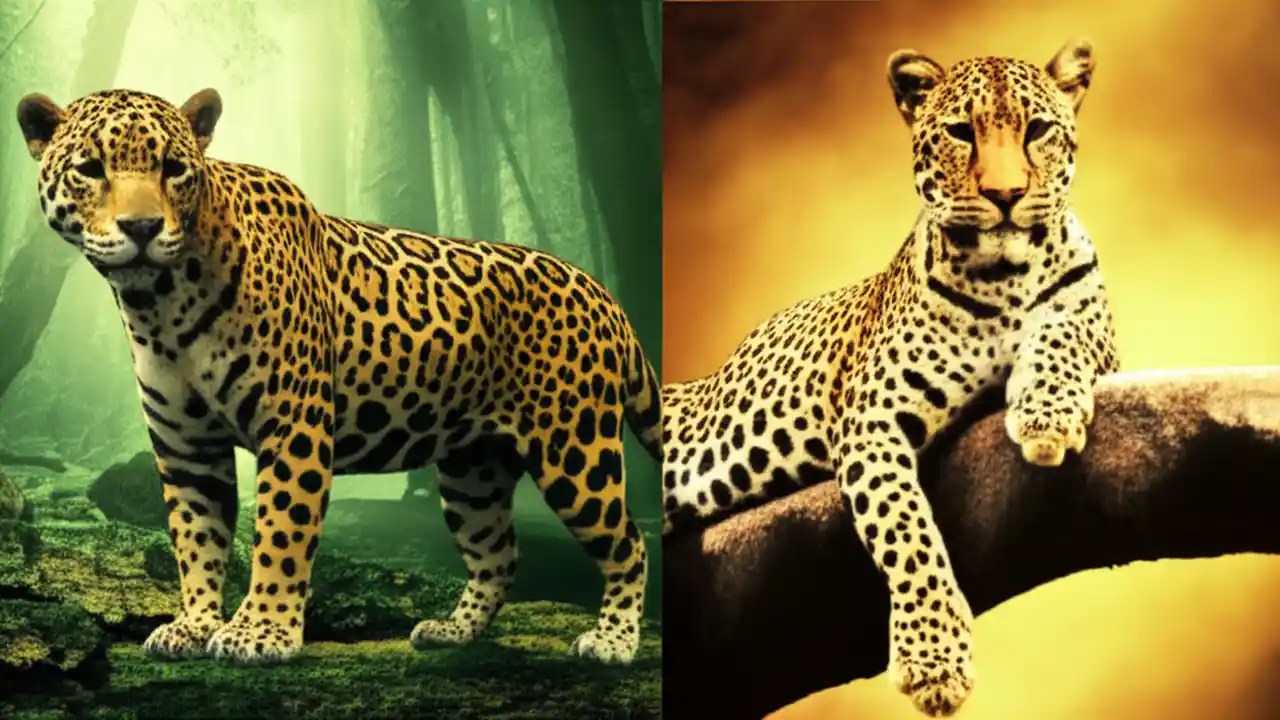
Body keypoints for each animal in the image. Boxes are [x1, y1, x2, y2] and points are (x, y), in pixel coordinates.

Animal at [15, 87, 661, 665]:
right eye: (90, 169)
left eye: (173, 169)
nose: (143, 228)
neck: (159, 301)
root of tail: (606, 296)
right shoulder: (187, 448)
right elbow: (196, 541)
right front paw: (195, 625)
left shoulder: (293, 426)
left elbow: (280, 532)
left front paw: (260, 633)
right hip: (473, 468)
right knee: (497, 555)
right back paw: (453, 632)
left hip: (575, 452)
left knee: (629, 545)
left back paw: (613, 642)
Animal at [661, 39, 1118, 716]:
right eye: (961, 133)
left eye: (1037, 131)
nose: (1006, 194)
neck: (1003, 277)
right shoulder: (871, 420)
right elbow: (906, 528)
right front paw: (933, 659)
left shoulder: (1104, 342)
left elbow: (1063, 330)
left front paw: (1047, 415)